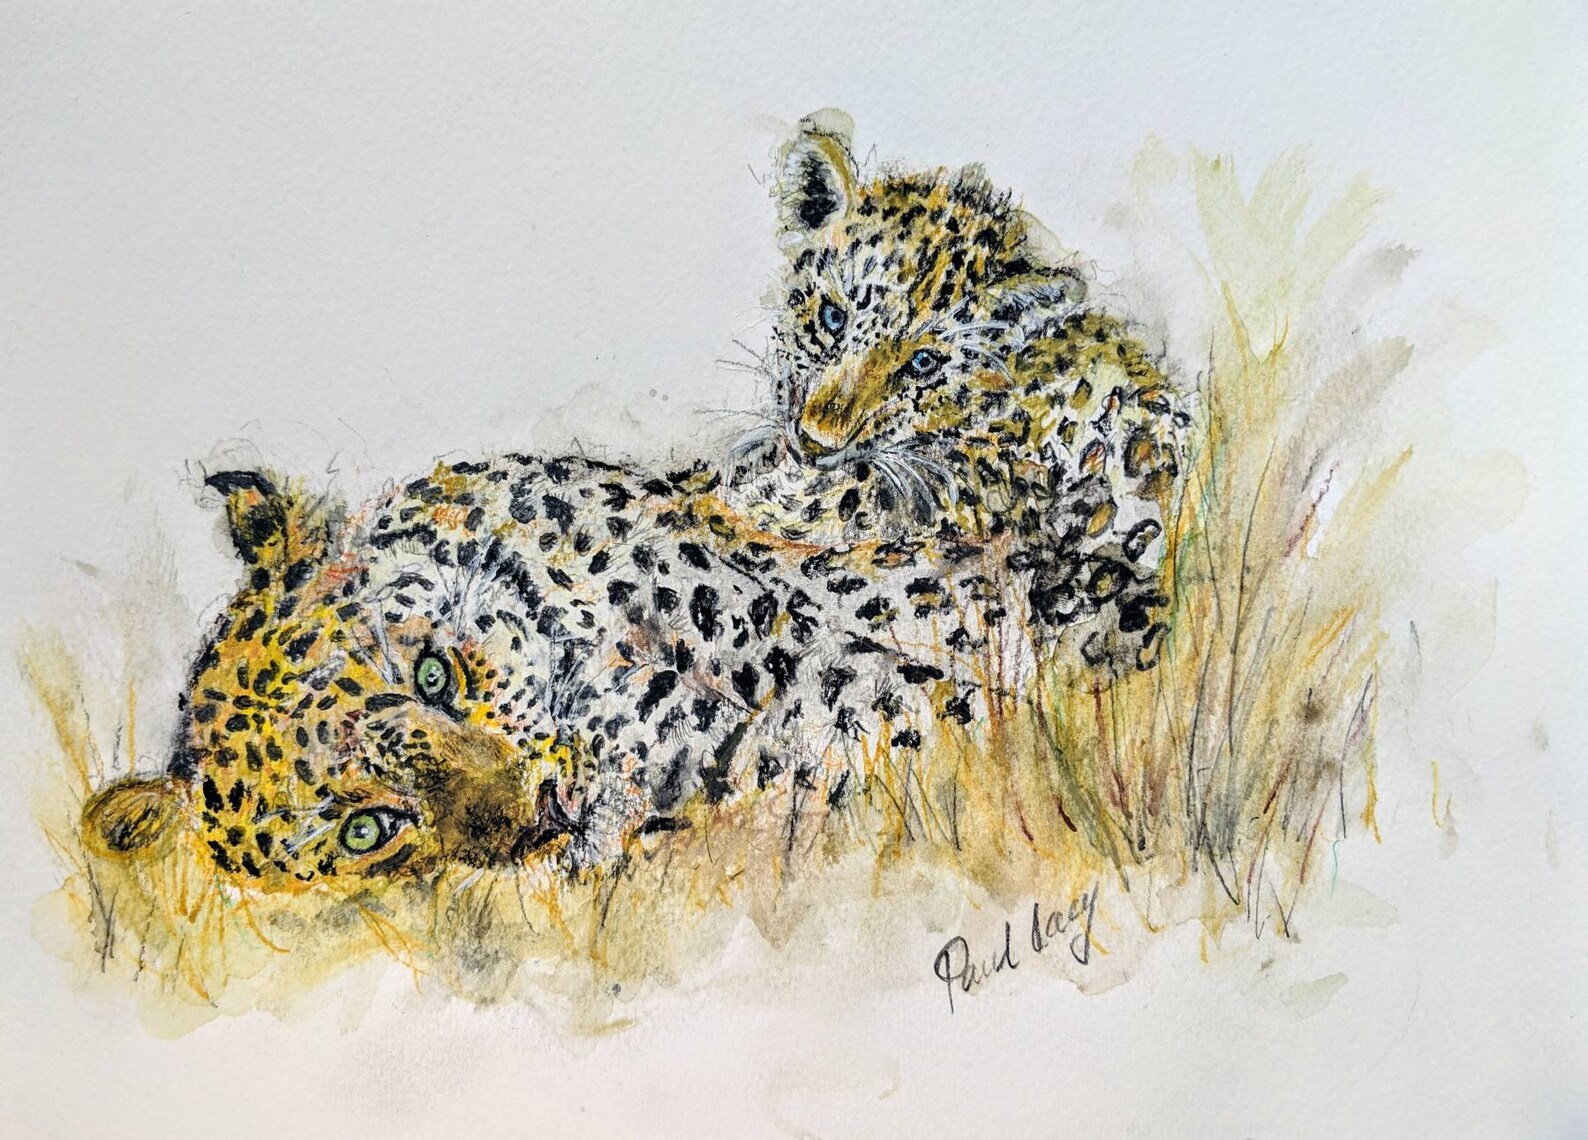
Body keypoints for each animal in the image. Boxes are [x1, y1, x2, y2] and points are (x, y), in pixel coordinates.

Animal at [721, 110, 1189, 675]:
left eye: (923, 363)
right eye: (832, 317)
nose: (815, 441)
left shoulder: (967, 481)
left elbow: (846, 498)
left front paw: (754, 491)